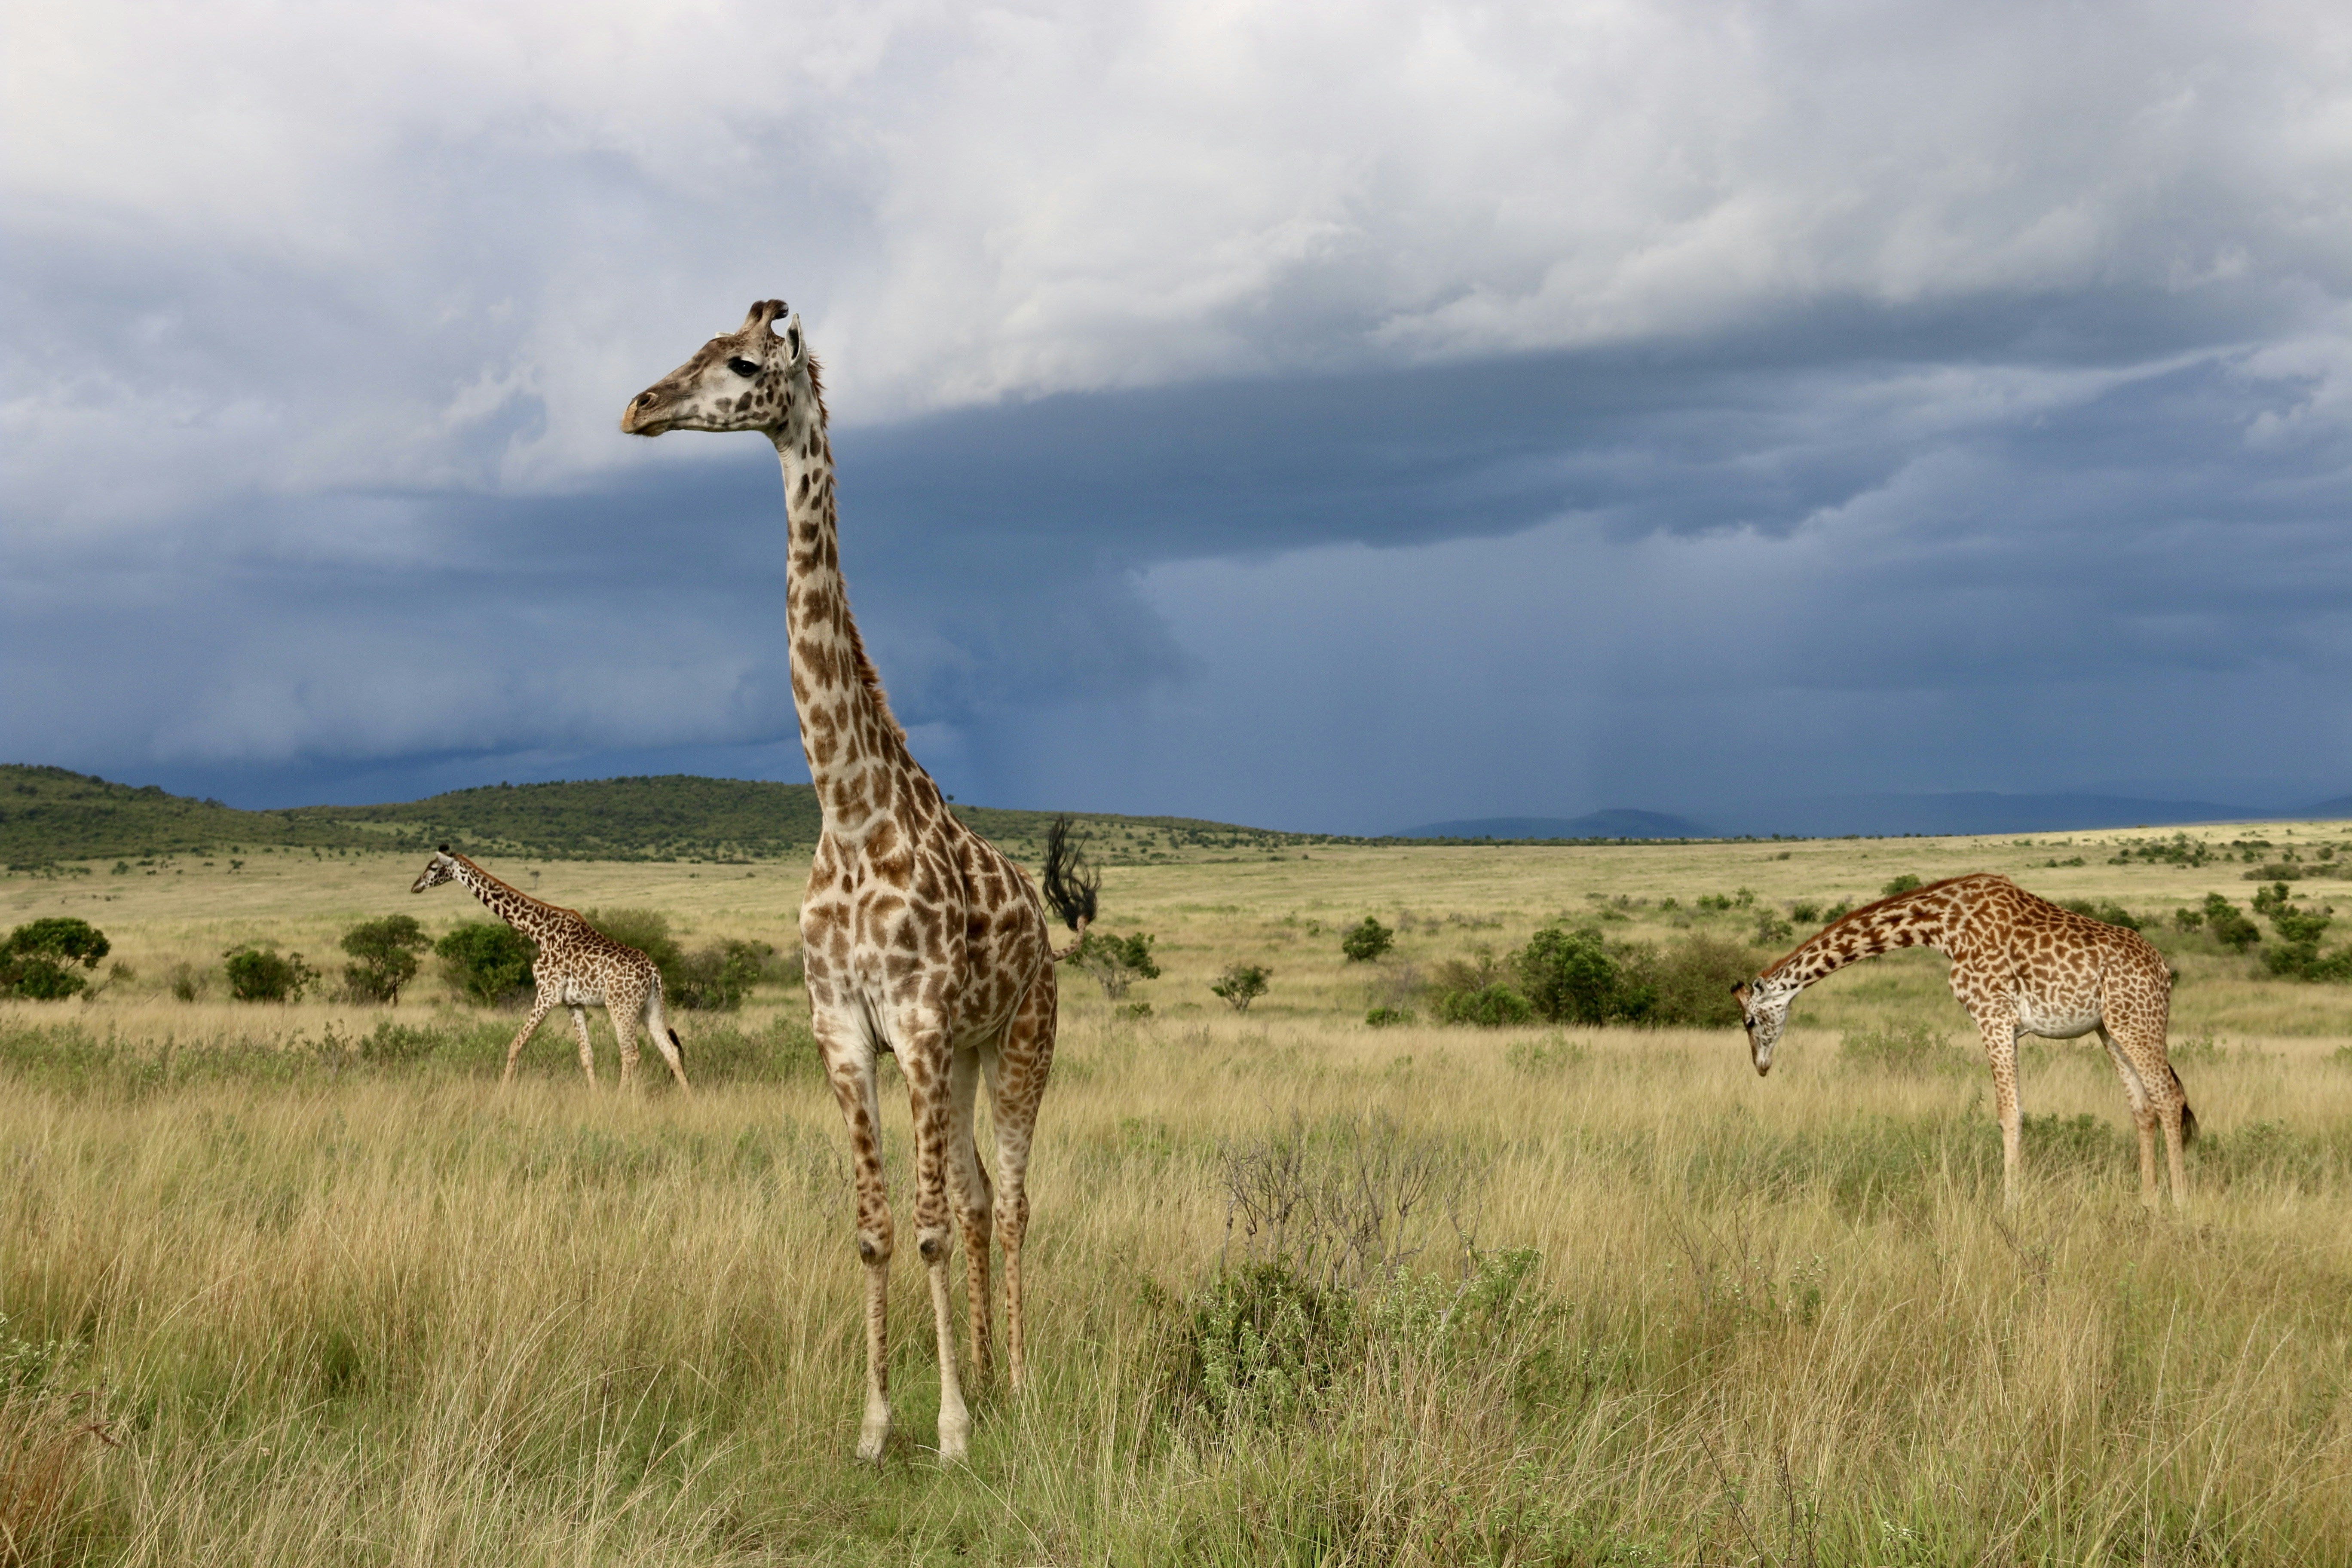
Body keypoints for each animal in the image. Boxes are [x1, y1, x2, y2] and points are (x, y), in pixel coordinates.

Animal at [411, 846, 691, 1092]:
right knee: (671, 1050)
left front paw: (500, 1094)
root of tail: (654, 973)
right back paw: (690, 1099)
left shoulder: (547, 994)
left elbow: (515, 1045)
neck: (538, 931)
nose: (415, 887)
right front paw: (596, 1097)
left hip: (621, 1007)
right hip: (650, 1007)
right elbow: (586, 1055)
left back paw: (621, 1099)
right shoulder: (573, 1003)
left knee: (631, 1054)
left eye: (433, 867)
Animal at [620, 300, 1095, 1465]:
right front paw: (881, 1427)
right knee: (977, 1195)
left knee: (1014, 1196)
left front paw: (954, 1431)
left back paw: (1018, 1384)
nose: (638, 407)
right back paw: (988, 1372)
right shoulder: (843, 1031)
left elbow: (922, 1231)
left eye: (744, 363)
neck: (846, 810)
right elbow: (878, 1231)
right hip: (964, 1054)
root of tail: (1042, 923)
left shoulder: (915, 1024)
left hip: (1020, 1038)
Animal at [1734, 873, 2195, 1209]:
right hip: (2111, 1029)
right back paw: (2148, 1201)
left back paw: (2180, 1203)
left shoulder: (1993, 1015)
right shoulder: (2006, 1022)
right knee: (2143, 1108)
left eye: (1750, 1022)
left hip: (2138, 1021)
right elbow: (2014, 1111)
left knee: (2169, 1097)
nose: (1761, 1066)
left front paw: (2010, 1206)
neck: (1942, 927)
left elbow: (2010, 1114)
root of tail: (2164, 972)